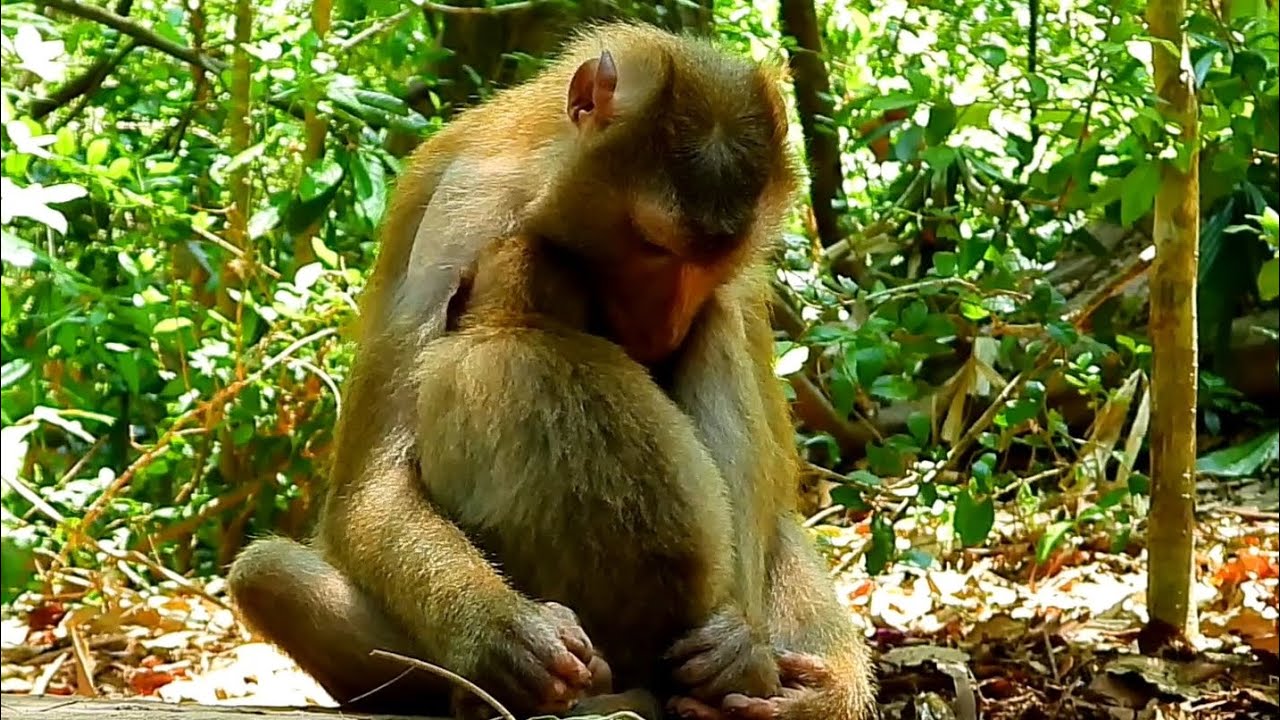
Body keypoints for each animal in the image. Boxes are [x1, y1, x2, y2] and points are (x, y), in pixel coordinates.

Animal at [227, 21, 877, 720]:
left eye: (709, 263)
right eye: (652, 243)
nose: (662, 324)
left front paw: (736, 643)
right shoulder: (464, 213)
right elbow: (371, 489)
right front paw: (500, 636)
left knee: (720, 332)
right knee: (268, 574)